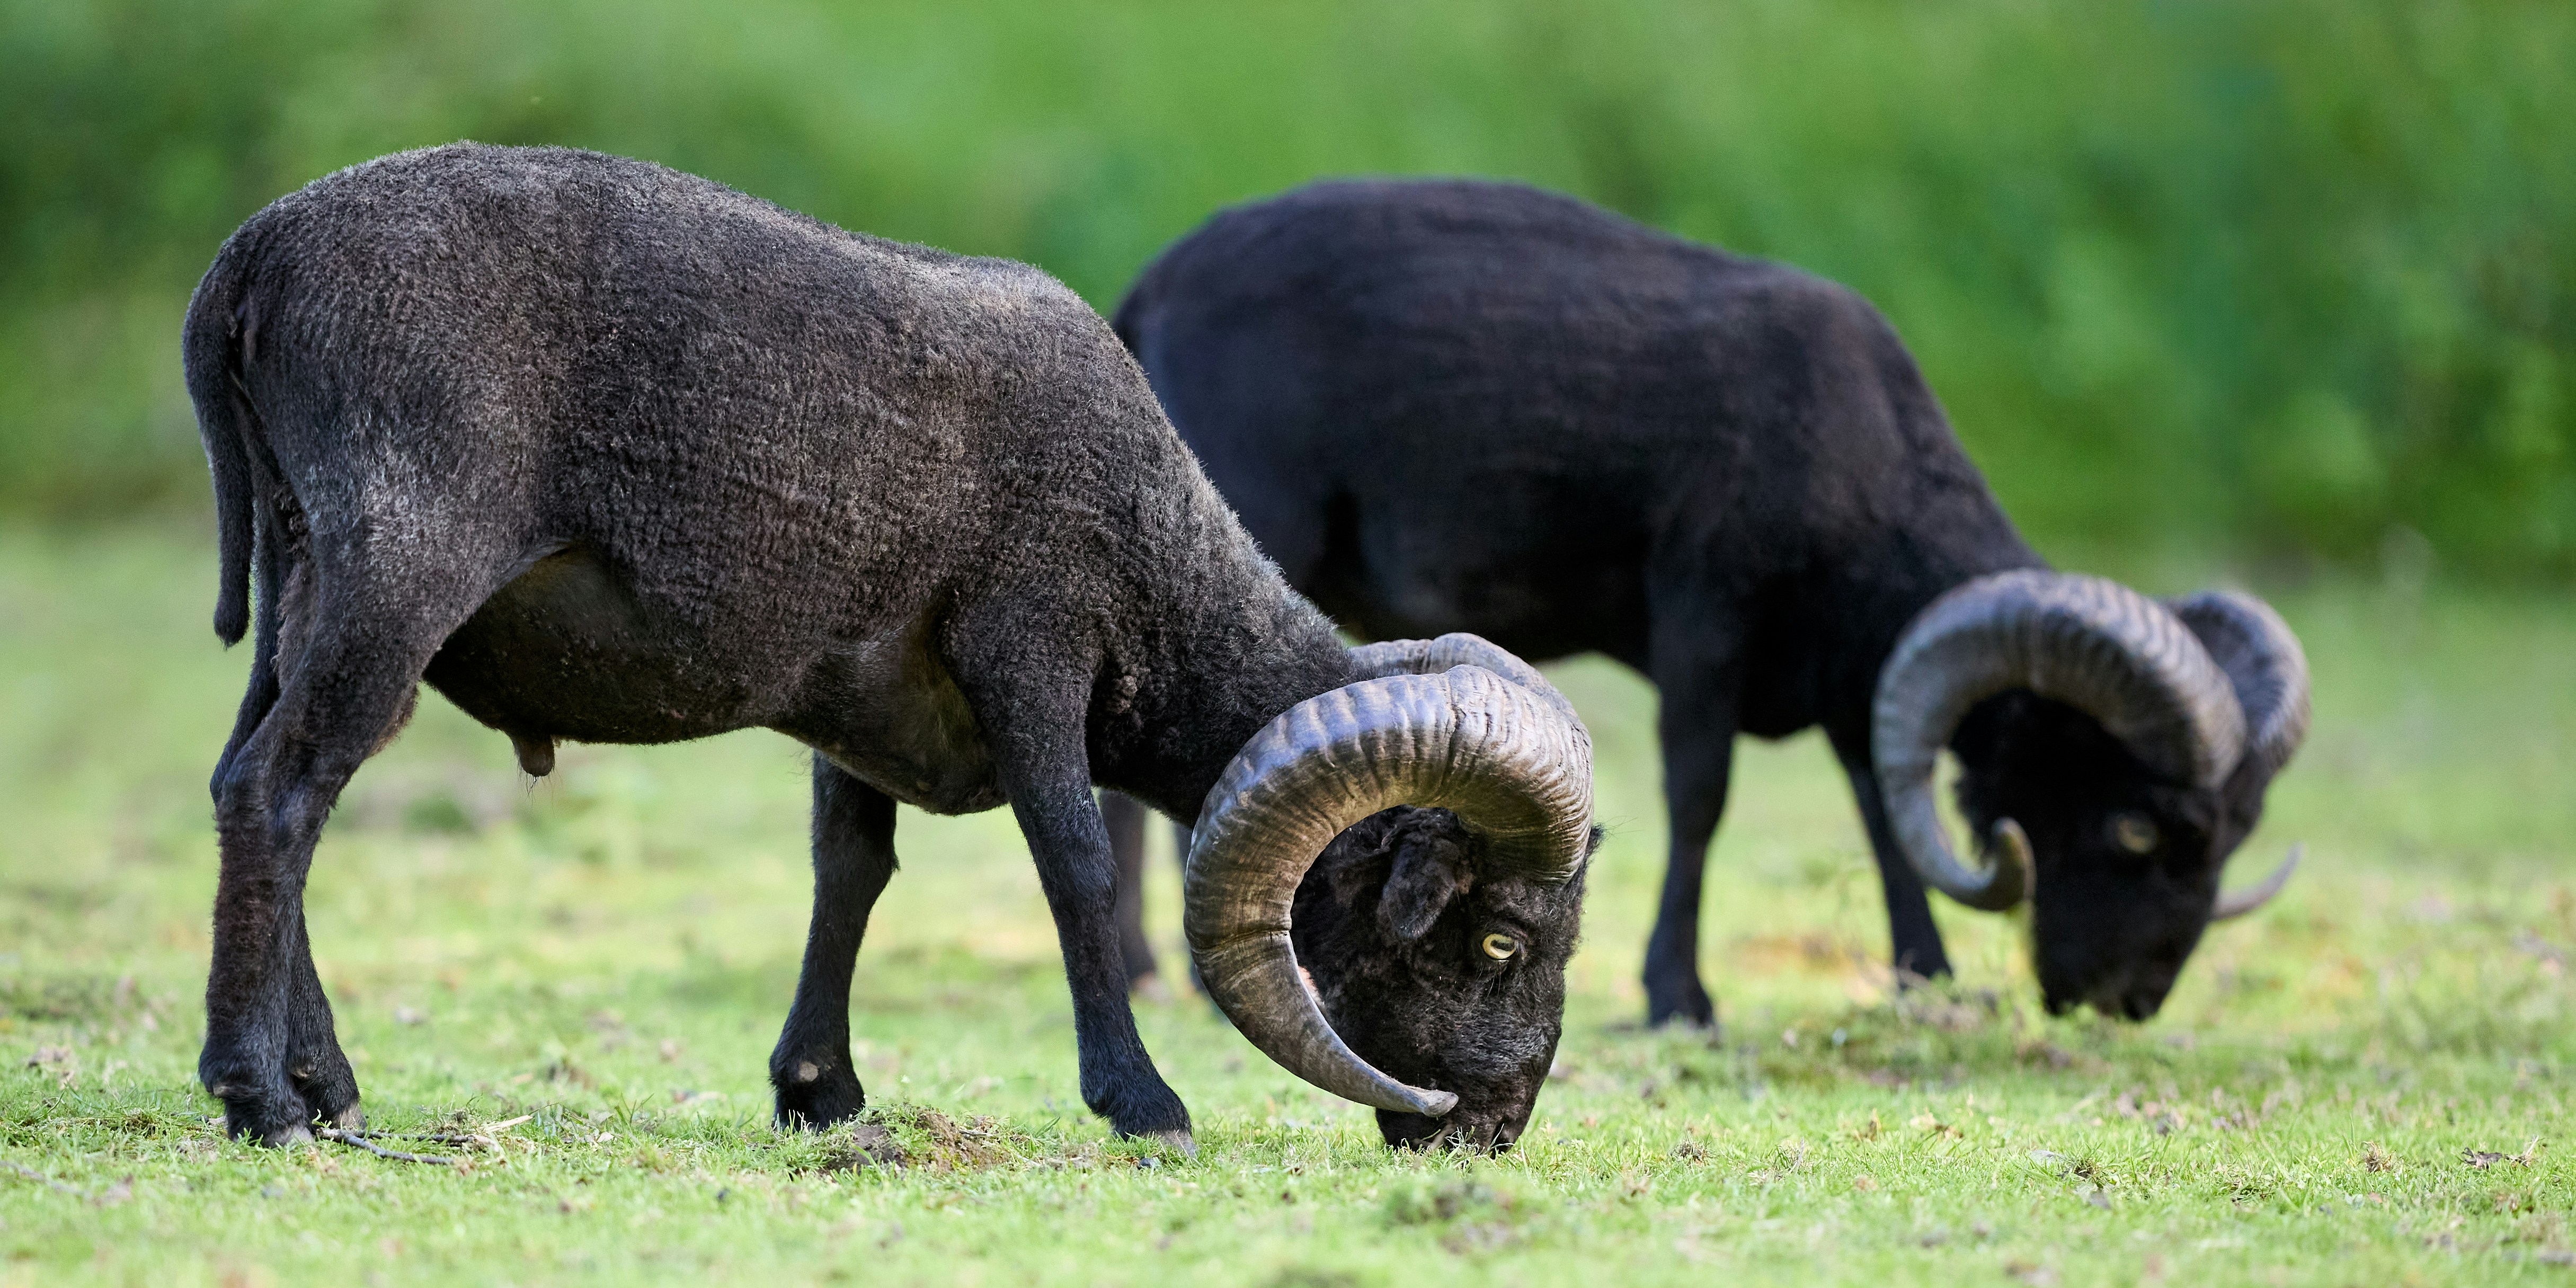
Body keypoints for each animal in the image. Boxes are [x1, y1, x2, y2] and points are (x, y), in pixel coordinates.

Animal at [181, 145, 1593, 1152]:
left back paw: (325, 1086)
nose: (1489, 1133)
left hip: (300, 569)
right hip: (399, 564)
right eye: (1499, 939)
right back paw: (263, 1099)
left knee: (249, 781)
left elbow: (849, 873)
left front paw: (818, 1089)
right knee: (283, 792)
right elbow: (1074, 865)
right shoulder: (1030, 643)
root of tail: (249, 262)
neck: (1162, 562)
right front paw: (1144, 1106)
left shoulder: (854, 698)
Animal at [1106, 177, 2307, 1025]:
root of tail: (1147, 290)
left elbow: (1881, 807)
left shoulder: (1859, 677)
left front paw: (1925, 975)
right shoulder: (1702, 617)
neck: (1862, 463)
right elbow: (1700, 794)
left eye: (2236, 835)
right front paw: (1677, 996)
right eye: (2136, 825)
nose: (2129, 1002)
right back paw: (1161, 972)